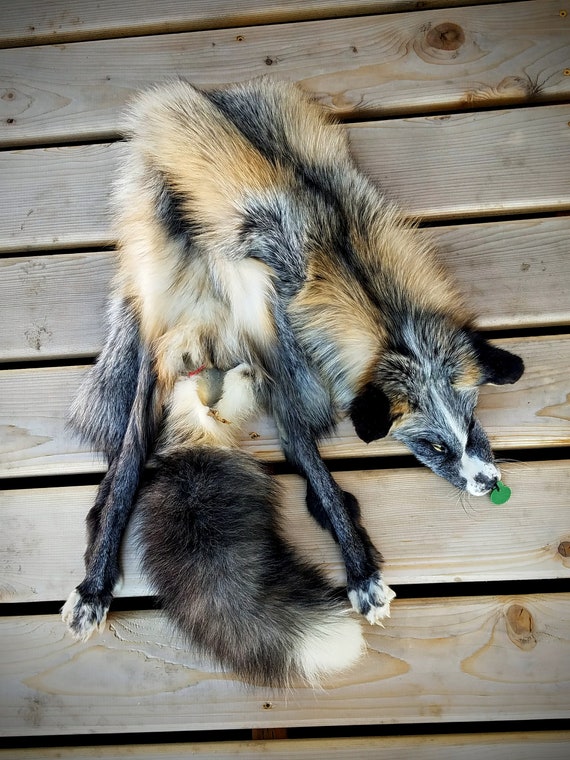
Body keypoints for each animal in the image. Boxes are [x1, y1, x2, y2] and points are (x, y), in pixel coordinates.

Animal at [63, 77, 524, 649]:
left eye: (472, 422)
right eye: (434, 446)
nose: (488, 483)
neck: (331, 251)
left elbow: (321, 481)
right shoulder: (282, 360)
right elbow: (320, 478)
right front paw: (361, 572)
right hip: (157, 317)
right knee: (126, 458)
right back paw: (96, 579)